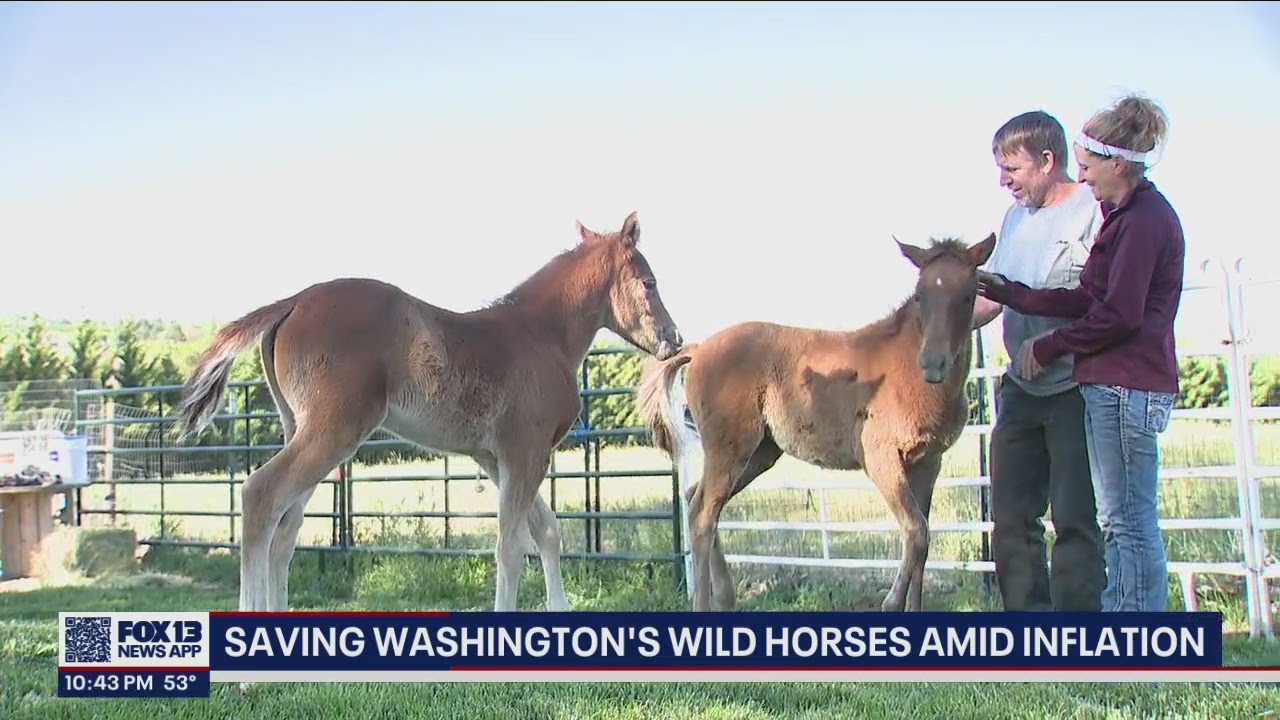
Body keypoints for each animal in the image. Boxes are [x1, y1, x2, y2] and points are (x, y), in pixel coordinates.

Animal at [176, 212, 683, 613]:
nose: (673, 339)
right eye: (650, 282)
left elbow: (546, 532)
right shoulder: (525, 451)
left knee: (286, 530)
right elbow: (510, 545)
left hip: (301, 429)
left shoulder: (496, 458)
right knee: (261, 496)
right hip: (333, 431)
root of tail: (294, 301)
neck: (540, 335)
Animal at [638, 233, 995, 612]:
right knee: (702, 514)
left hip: (758, 454)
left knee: (698, 499)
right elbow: (916, 532)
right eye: (919, 295)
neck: (909, 375)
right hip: (730, 449)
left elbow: (924, 538)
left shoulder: (928, 463)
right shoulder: (880, 458)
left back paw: (725, 596)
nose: (932, 364)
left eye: (968, 296)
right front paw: (890, 602)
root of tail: (699, 349)